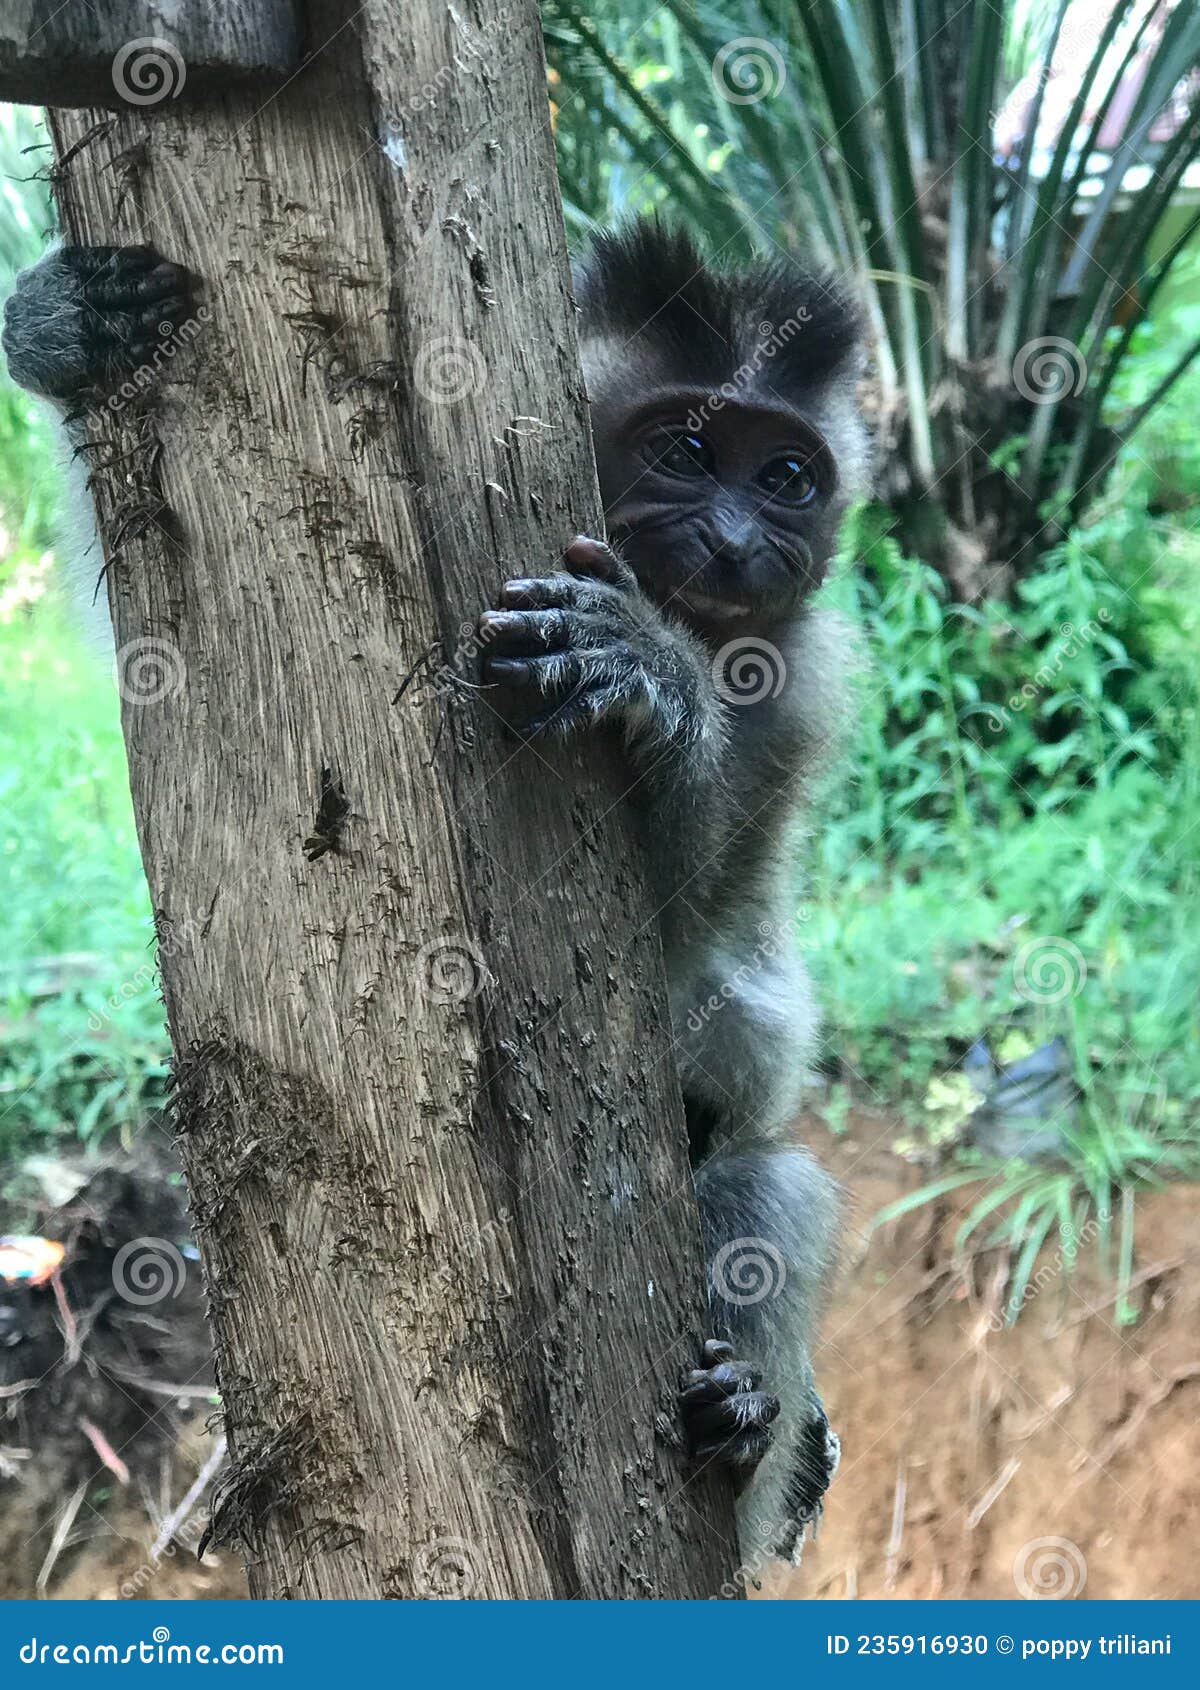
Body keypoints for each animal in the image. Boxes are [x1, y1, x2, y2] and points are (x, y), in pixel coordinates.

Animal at [3, 221, 866, 1567]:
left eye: (786, 474)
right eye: (685, 452)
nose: (737, 540)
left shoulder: (806, 676)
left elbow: (689, 930)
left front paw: (653, 673)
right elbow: (166, 651)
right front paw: (55, 330)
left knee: (763, 1181)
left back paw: (743, 1436)